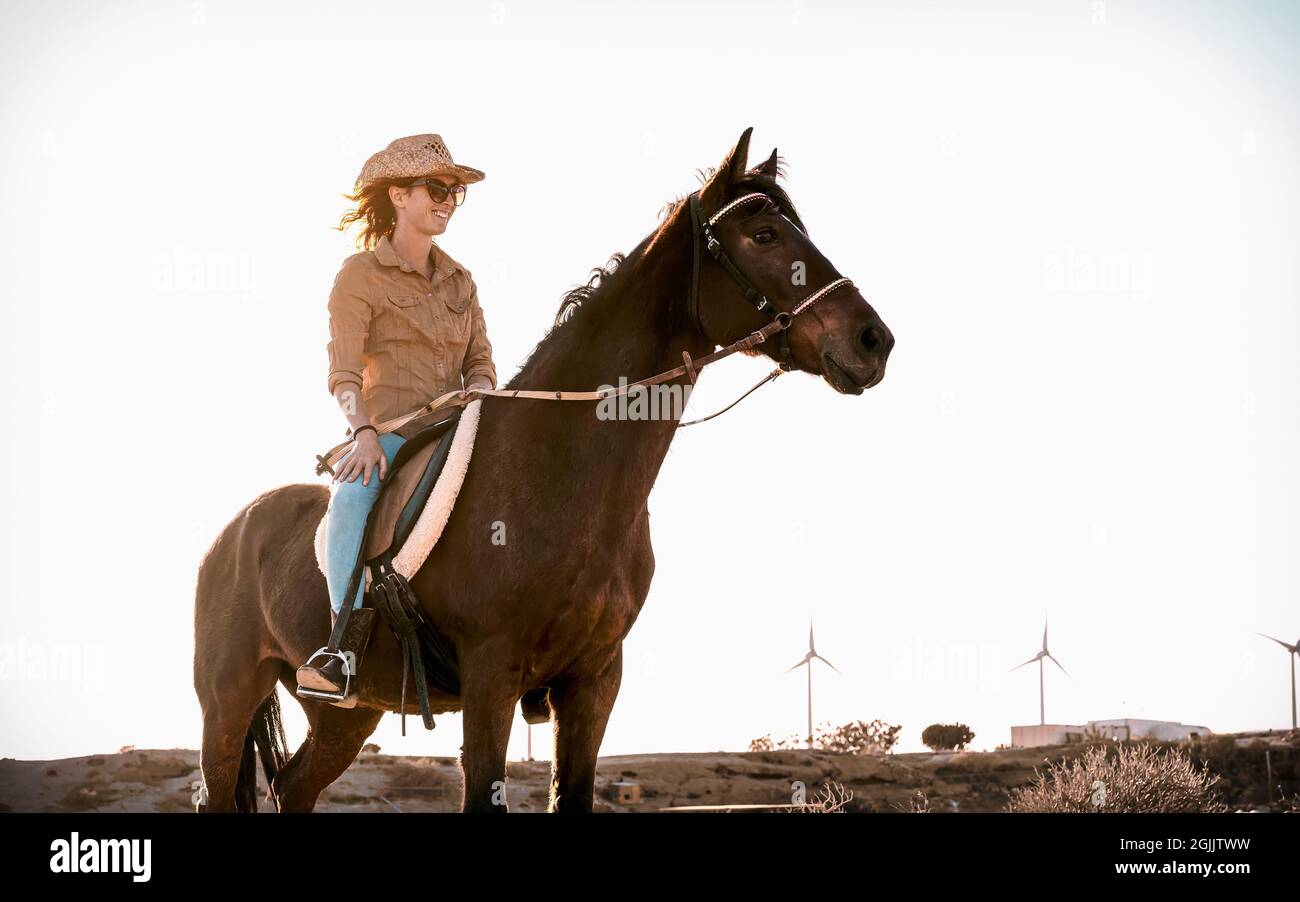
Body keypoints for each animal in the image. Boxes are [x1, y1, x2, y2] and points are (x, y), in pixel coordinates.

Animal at [192, 127, 894, 813]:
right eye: (765, 234)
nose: (873, 341)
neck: (559, 473)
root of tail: (231, 534)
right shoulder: (490, 676)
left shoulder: (593, 681)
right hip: (227, 703)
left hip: (348, 713)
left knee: (294, 787)